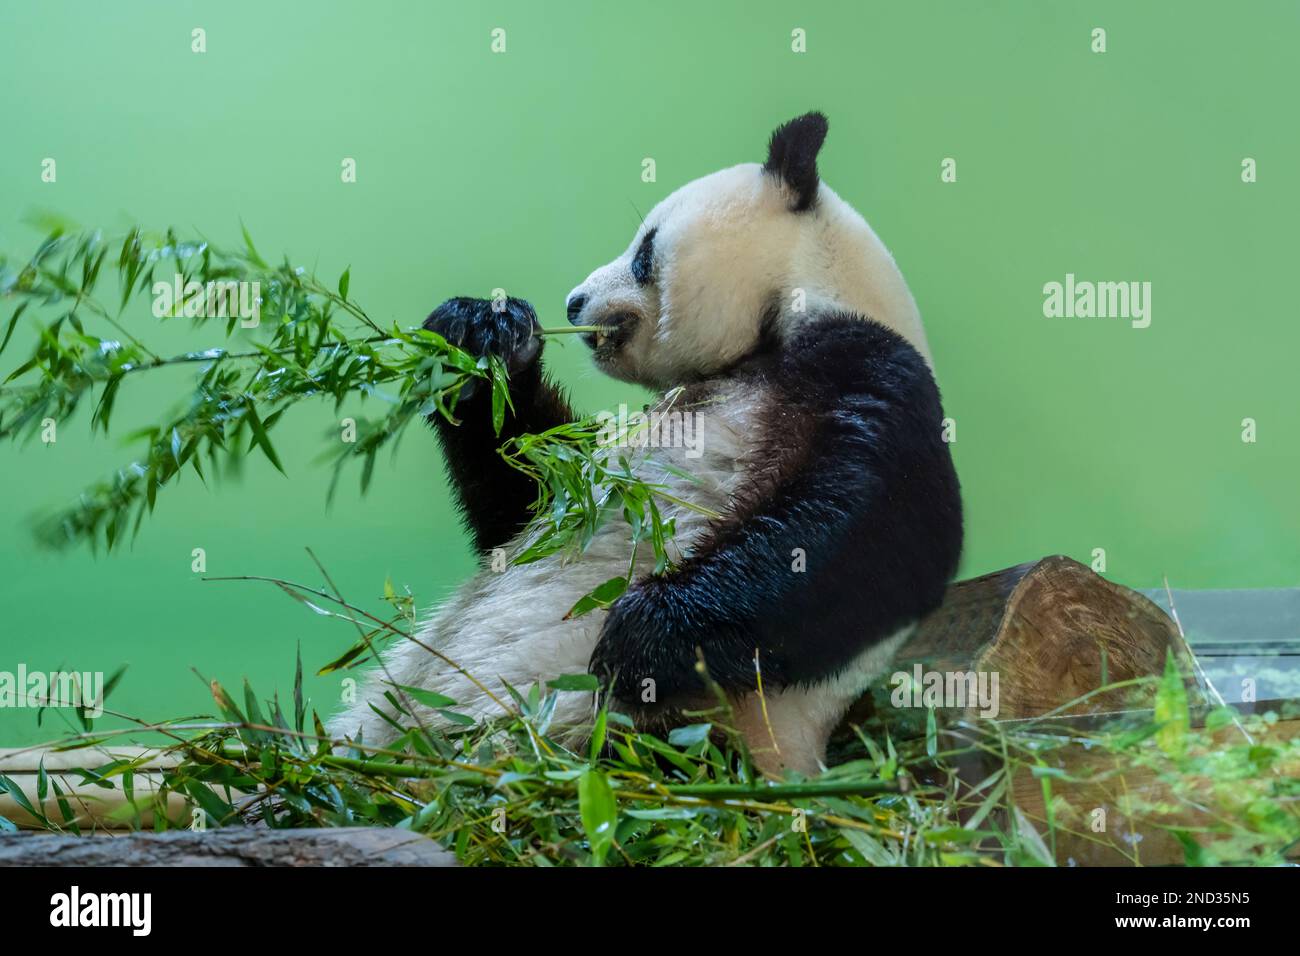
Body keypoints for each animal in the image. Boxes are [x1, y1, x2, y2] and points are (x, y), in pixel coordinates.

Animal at [333, 113, 963, 775]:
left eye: (643, 251)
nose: (573, 303)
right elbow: (528, 496)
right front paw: (483, 331)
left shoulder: (869, 368)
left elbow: (881, 535)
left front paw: (640, 636)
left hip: (663, 744)